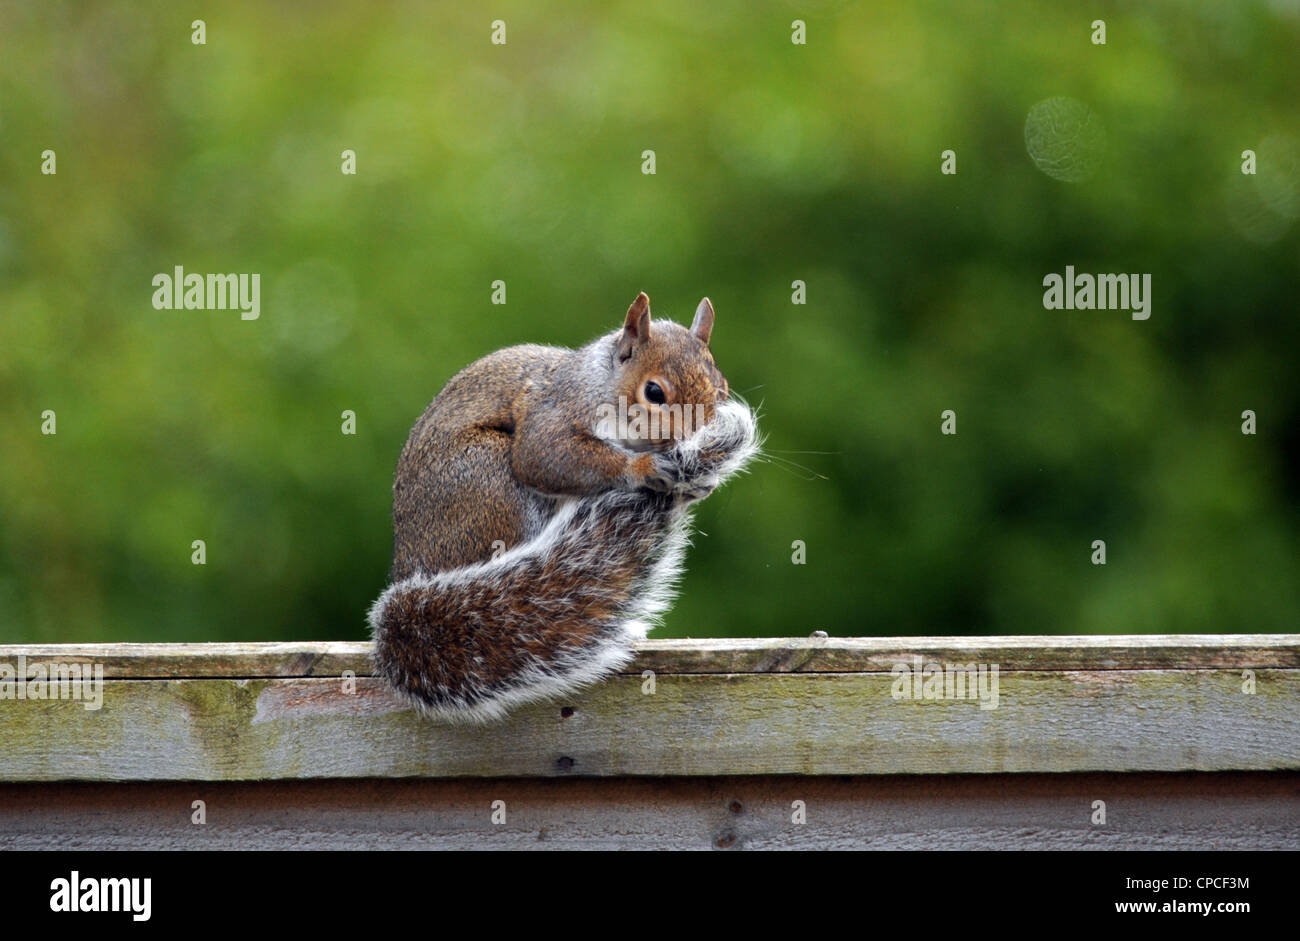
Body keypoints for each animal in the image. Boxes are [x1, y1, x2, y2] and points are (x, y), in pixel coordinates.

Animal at [368, 292, 757, 722]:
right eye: (654, 392)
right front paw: (645, 467)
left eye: (721, 390)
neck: (603, 386)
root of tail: (411, 568)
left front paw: (701, 482)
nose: (697, 440)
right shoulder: (555, 413)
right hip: (490, 483)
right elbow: (545, 455)